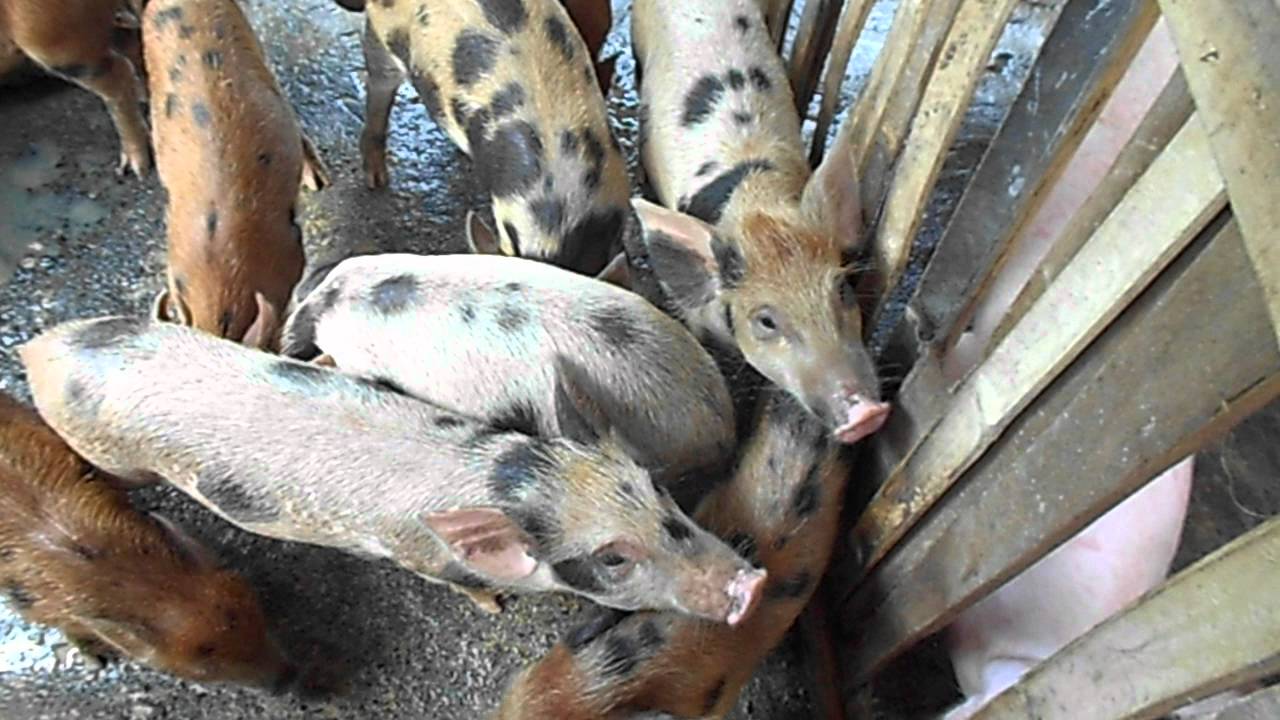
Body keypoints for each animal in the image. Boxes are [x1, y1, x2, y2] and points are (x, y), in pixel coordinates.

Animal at [20, 317, 766, 623]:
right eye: (613, 558)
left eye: (658, 491)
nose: (751, 585)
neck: (508, 473)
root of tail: (42, 346)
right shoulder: (419, 557)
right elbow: (459, 586)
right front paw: (492, 606)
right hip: (108, 451)